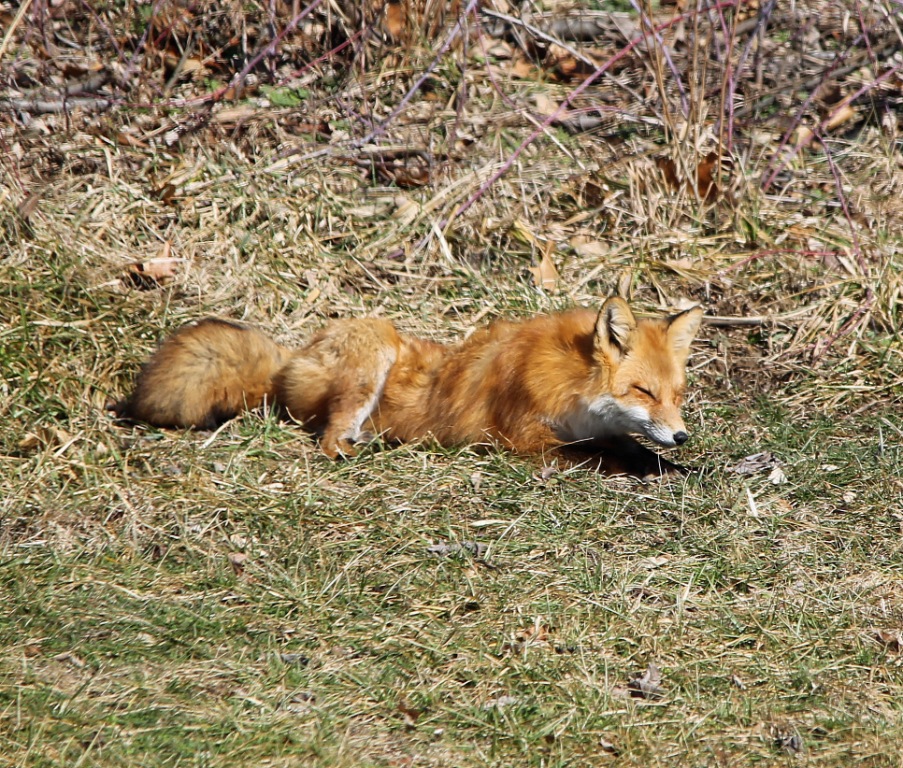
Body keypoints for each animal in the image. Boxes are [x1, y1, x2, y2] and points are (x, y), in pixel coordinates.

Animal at [114, 298, 703, 472]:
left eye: (676, 396)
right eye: (643, 392)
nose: (682, 436)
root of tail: (292, 357)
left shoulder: (602, 429)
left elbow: (630, 446)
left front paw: (677, 467)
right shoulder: (522, 438)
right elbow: (601, 457)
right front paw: (648, 471)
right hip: (372, 349)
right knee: (327, 439)